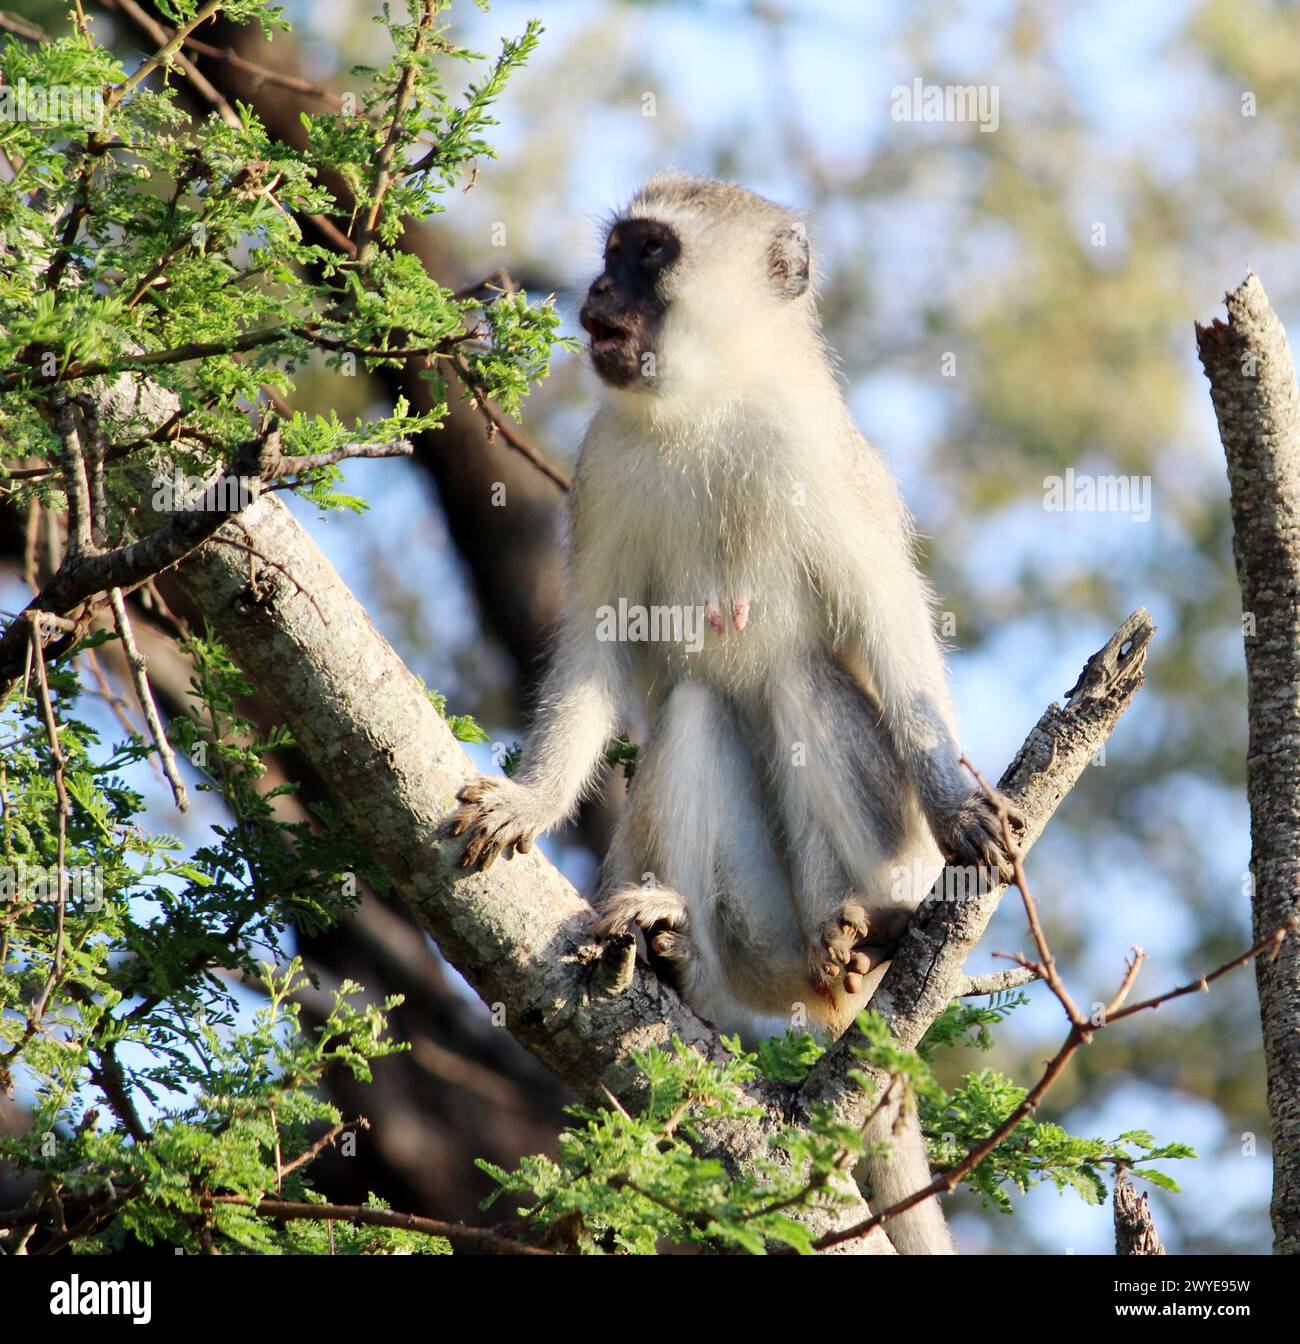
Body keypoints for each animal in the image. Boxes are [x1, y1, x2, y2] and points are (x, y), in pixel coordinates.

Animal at [451, 173, 1019, 1254]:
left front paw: (955, 801)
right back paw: (677, 951)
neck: (705, 406)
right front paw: (532, 802)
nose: (597, 287)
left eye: (650, 253)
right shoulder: (604, 461)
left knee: (801, 682)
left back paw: (875, 937)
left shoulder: (813, 453)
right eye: (616, 251)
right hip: (758, 931)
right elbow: (594, 650)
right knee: (698, 711)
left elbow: (891, 632)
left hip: (858, 877)